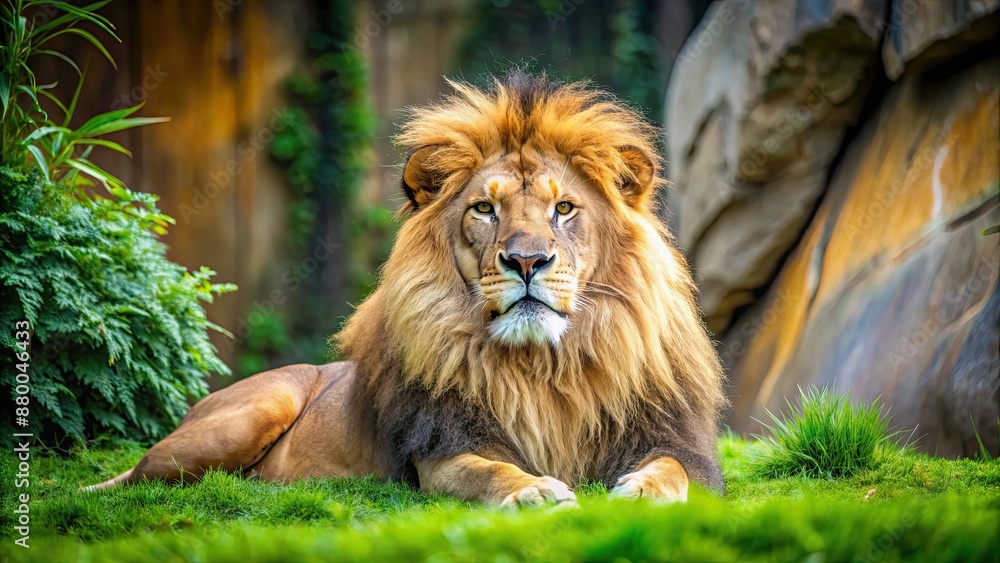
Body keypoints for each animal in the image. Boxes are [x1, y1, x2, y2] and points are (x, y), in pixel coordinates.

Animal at [85, 72, 727, 506]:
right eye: (485, 209)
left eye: (564, 208)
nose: (526, 260)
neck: (543, 368)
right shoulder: (441, 451)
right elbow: (488, 471)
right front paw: (534, 492)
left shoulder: (675, 439)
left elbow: (673, 471)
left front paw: (640, 492)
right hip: (251, 412)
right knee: (136, 479)